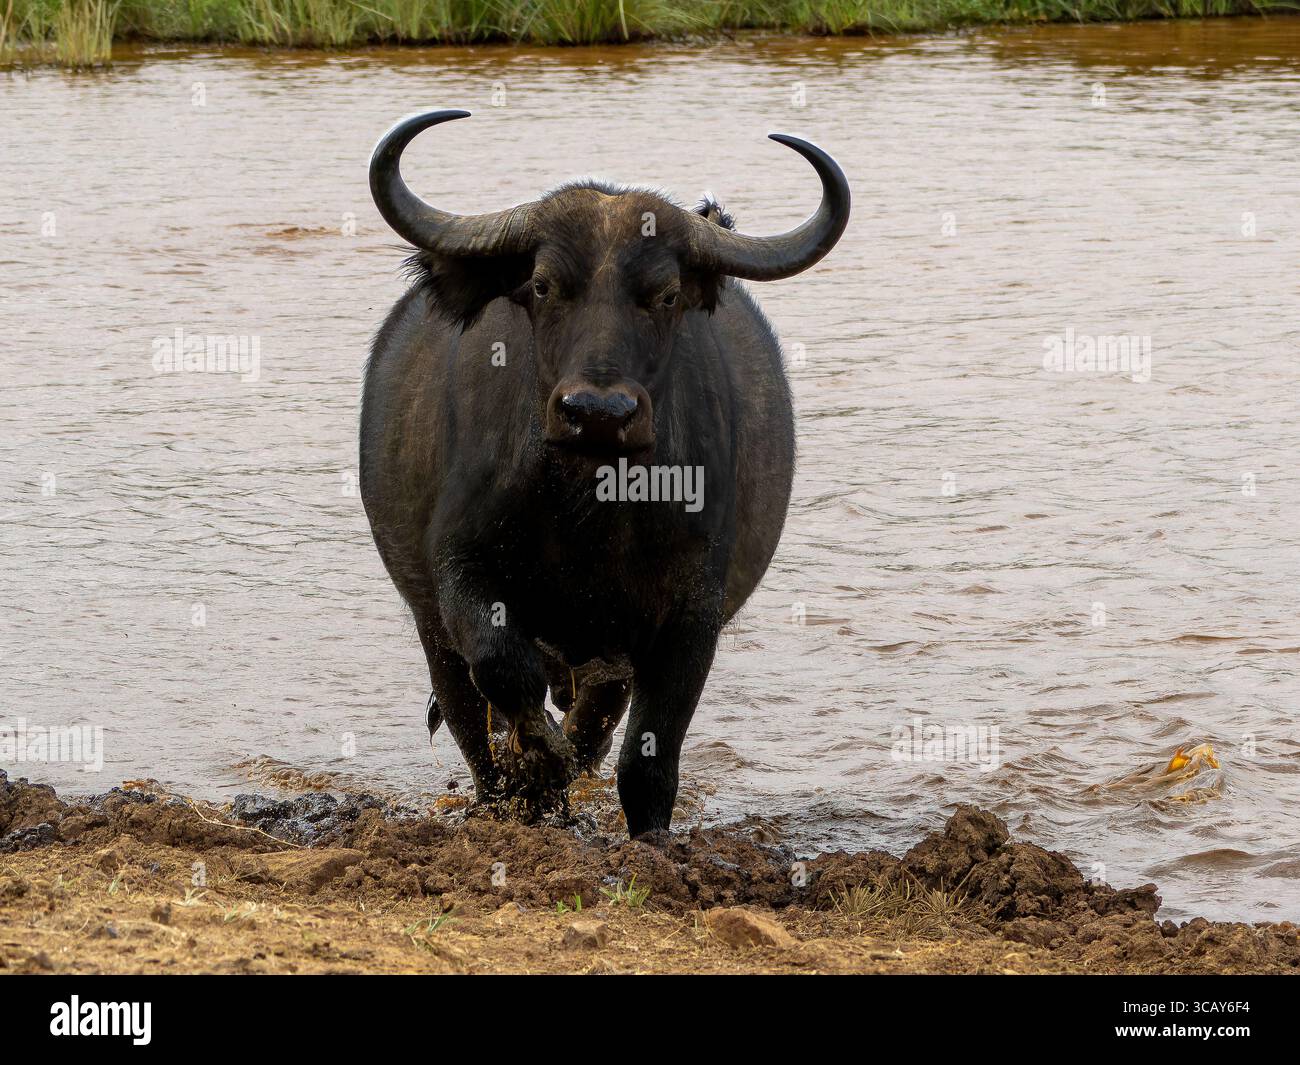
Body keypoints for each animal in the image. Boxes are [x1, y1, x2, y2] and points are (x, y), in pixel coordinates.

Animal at [361, 110, 849, 837]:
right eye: (542, 285)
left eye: (666, 295)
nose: (597, 413)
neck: (587, 510)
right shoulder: (457, 571)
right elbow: (504, 672)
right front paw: (539, 769)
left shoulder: (692, 614)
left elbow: (648, 757)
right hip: (429, 622)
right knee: (472, 725)